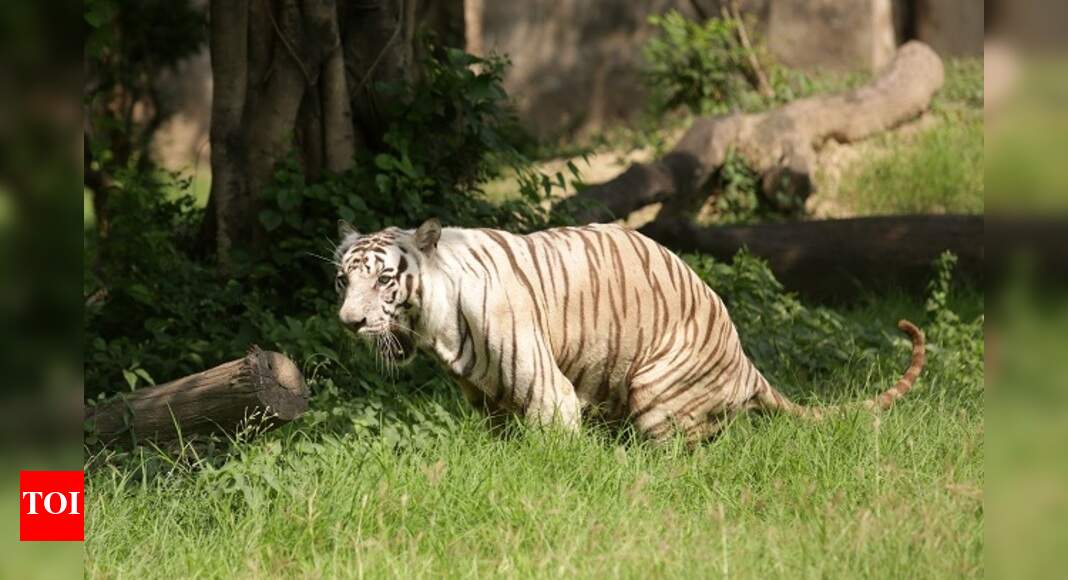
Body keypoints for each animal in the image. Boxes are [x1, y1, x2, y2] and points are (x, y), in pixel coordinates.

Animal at [334, 218, 926, 442]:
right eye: (343, 278)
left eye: (384, 279)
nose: (349, 322)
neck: (437, 331)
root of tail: (745, 363)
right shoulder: (489, 402)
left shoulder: (548, 393)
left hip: (656, 392)